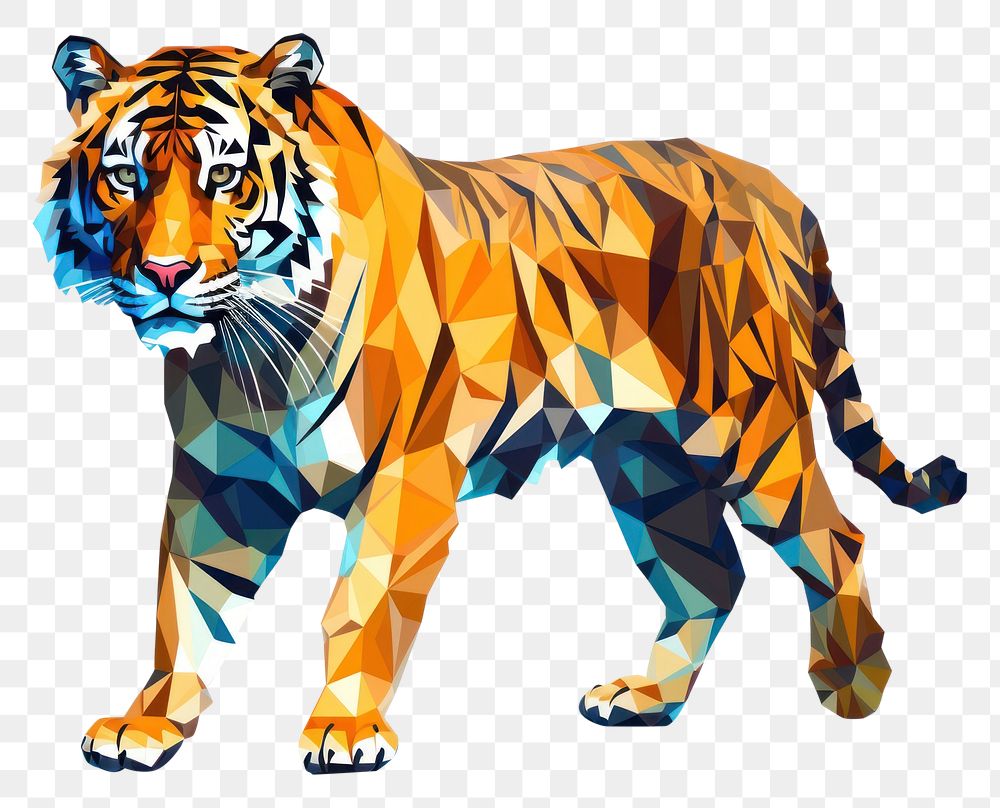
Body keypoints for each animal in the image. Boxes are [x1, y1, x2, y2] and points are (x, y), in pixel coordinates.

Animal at [36, 33, 966, 774]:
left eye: (225, 175)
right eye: (124, 176)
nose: (163, 274)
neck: (247, 349)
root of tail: (773, 189)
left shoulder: (406, 474)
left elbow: (361, 604)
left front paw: (345, 729)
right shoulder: (218, 483)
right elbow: (180, 605)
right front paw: (148, 723)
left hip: (745, 428)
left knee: (832, 537)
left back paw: (853, 684)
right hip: (644, 463)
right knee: (712, 574)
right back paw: (646, 696)